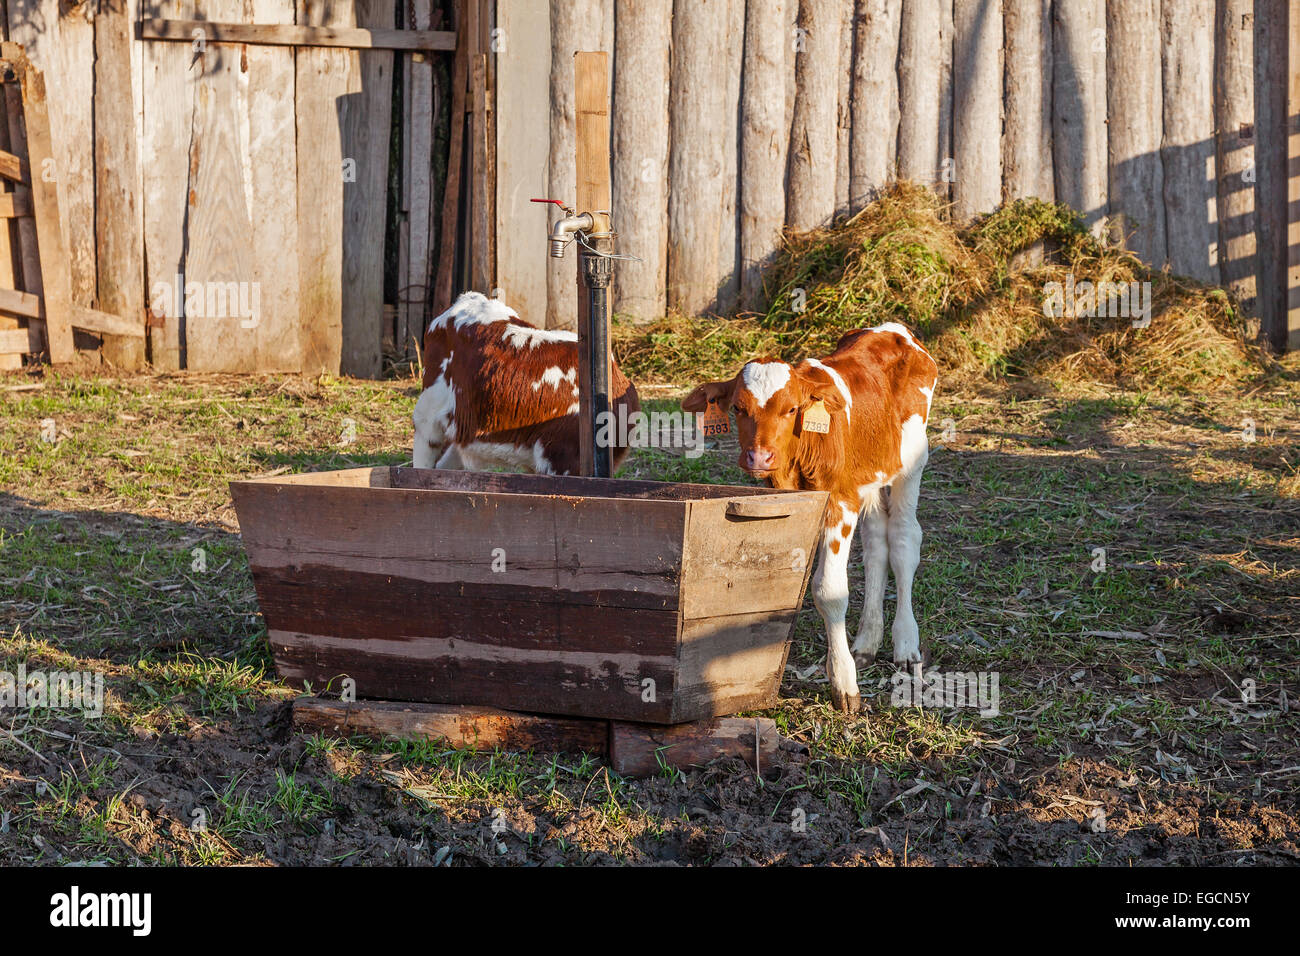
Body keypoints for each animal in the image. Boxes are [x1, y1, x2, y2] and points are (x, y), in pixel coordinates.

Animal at [682, 323, 939, 714]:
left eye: (791, 409)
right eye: (738, 408)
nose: (759, 457)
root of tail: (895, 330)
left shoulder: (840, 502)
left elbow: (829, 590)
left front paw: (843, 683)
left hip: (911, 463)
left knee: (904, 541)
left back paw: (906, 644)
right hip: (870, 478)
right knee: (877, 545)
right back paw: (866, 642)